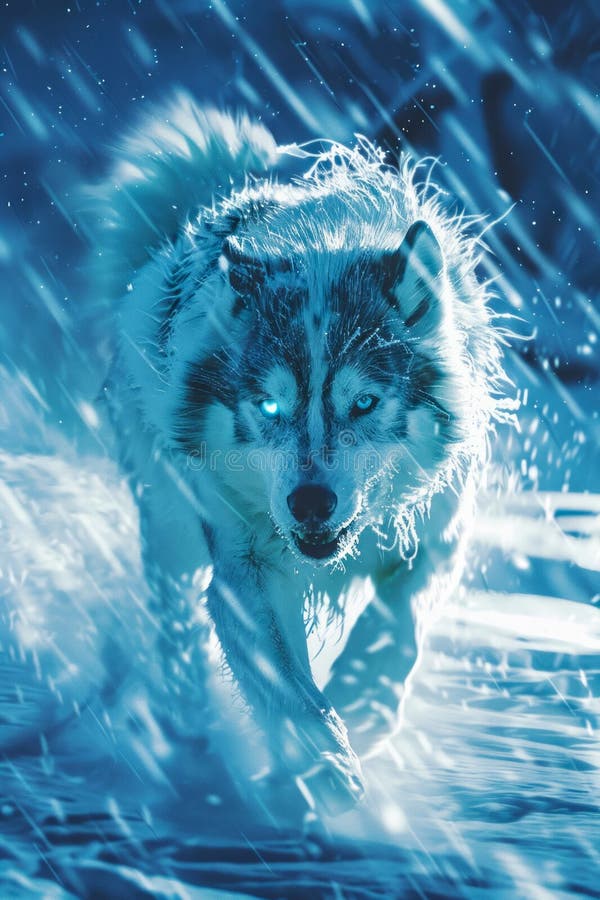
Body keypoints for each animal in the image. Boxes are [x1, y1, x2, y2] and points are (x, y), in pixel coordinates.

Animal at [89, 93, 508, 814]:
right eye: (270, 408)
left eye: (363, 402)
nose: (310, 503)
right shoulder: (244, 569)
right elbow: (290, 690)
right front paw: (326, 774)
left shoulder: (436, 537)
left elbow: (397, 632)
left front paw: (364, 709)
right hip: (171, 523)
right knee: (173, 620)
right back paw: (183, 724)